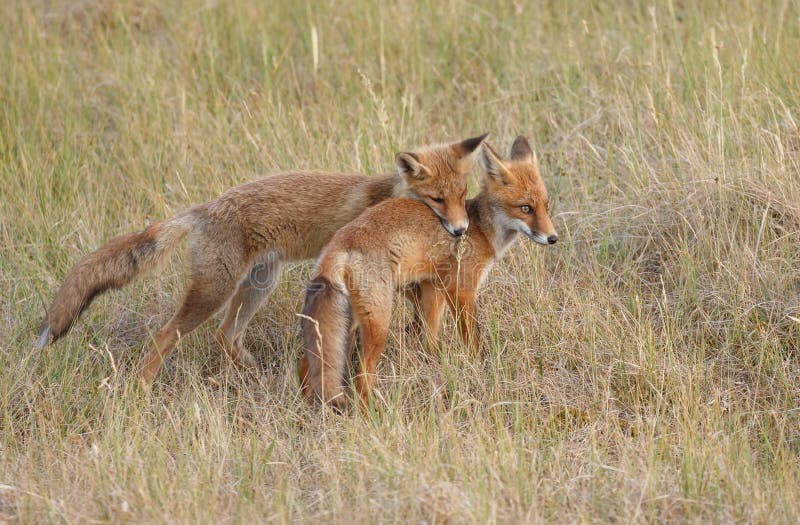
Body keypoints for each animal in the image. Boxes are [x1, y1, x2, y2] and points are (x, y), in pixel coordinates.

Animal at [36, 134, 488, 387]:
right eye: (436, 200)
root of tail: (204, 209)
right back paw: (142, 389)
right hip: (214, 292)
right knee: (166, 336)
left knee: (225, 335)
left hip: (258, 284)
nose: (461, 230)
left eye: (463, 196)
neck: (390, 195)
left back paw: (253, 373)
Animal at [299, 136, 557, 410]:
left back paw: (308, 406)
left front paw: (433, 365)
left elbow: (430, 338)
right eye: (526, 208)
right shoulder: (461, 289)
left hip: (350, 320)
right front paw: (479, 367)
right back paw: (372, 412)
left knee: (309, 362)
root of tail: (339, 242)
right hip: (378, 323)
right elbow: (471, 340)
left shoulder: (434, 288)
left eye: (546, 205)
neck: (481, 230)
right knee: (362, 377)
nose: (553, 238)